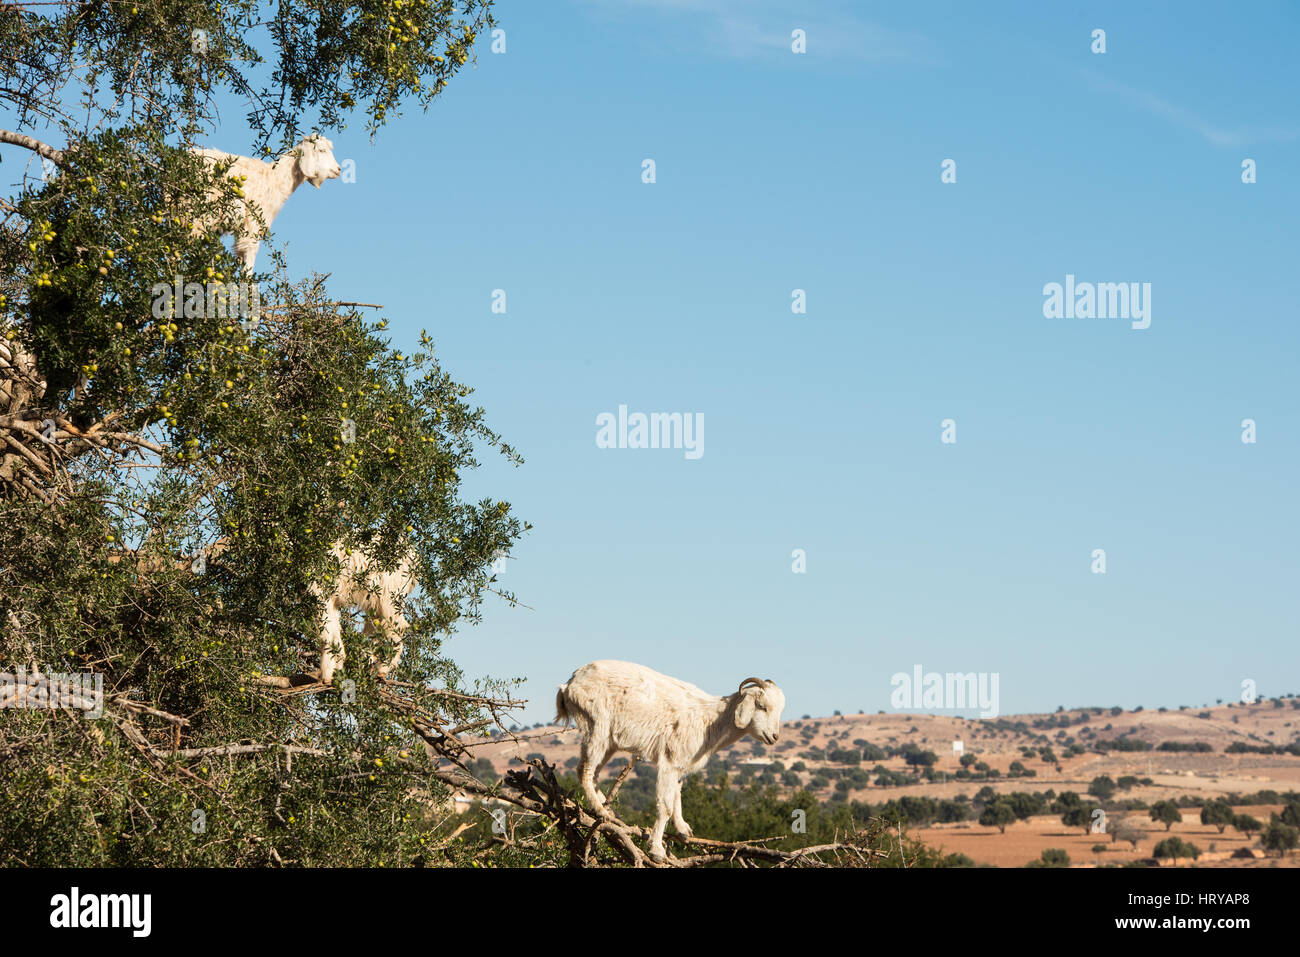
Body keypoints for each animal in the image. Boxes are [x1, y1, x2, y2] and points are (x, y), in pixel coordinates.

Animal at [555, 660, 786, 860]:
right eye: (762, 706)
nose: (774, 737)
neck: (710, 720)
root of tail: (569, 684)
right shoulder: (669, 761)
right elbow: (665, 805)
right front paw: (657, 850)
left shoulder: (680, 764)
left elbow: (677, 794)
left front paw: (683, 829)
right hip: (596, 725)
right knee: (584, 769)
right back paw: (601, 811)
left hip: (609, 741)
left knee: (594, 772)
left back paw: (612, 813)